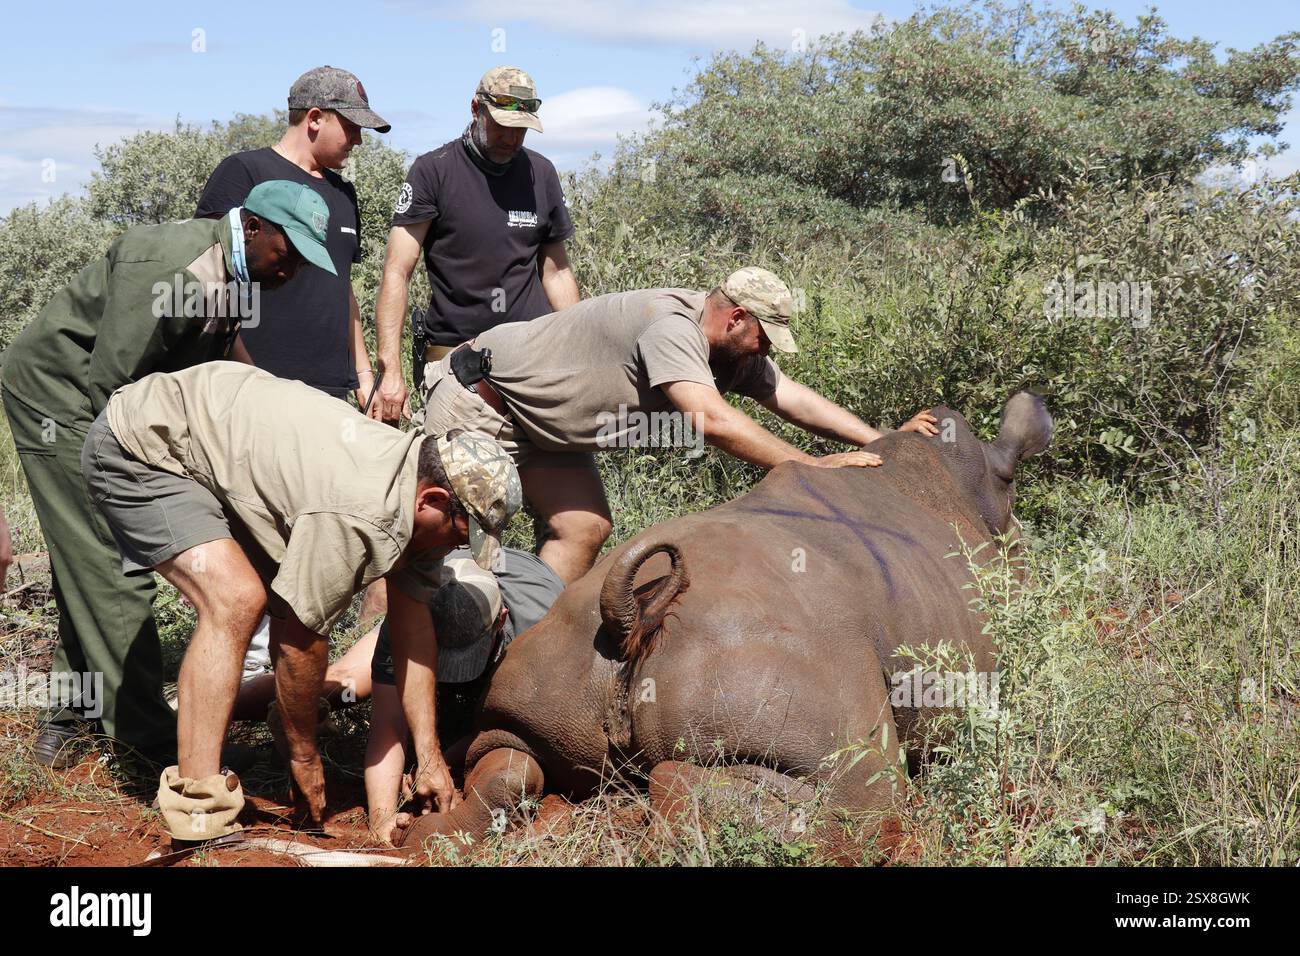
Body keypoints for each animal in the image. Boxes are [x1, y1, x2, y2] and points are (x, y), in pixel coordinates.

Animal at [396, 392, 1052, 849]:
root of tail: (631, 616)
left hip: (555, 664)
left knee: (509, 754)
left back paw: (431, 835)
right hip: (781, 668)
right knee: (863, 800)